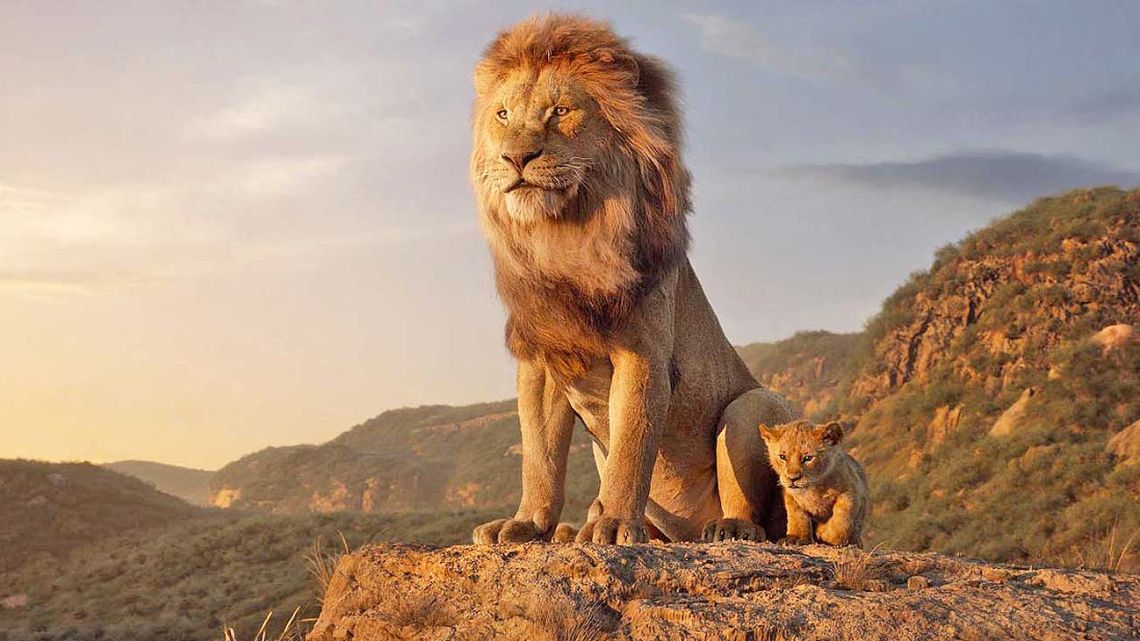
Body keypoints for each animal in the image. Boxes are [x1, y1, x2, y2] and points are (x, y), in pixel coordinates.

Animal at [469, 14, 793, 545]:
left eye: (560, 111)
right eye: (502, 115)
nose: (516, 158)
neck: (565, 237)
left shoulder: (643, 353)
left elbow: (631, 445)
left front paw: (616, 523)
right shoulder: (542, 358)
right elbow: (540, 457)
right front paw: (527, 524)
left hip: (753, 406)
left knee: (757, 513)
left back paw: (727, 528)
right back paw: (574, 529)